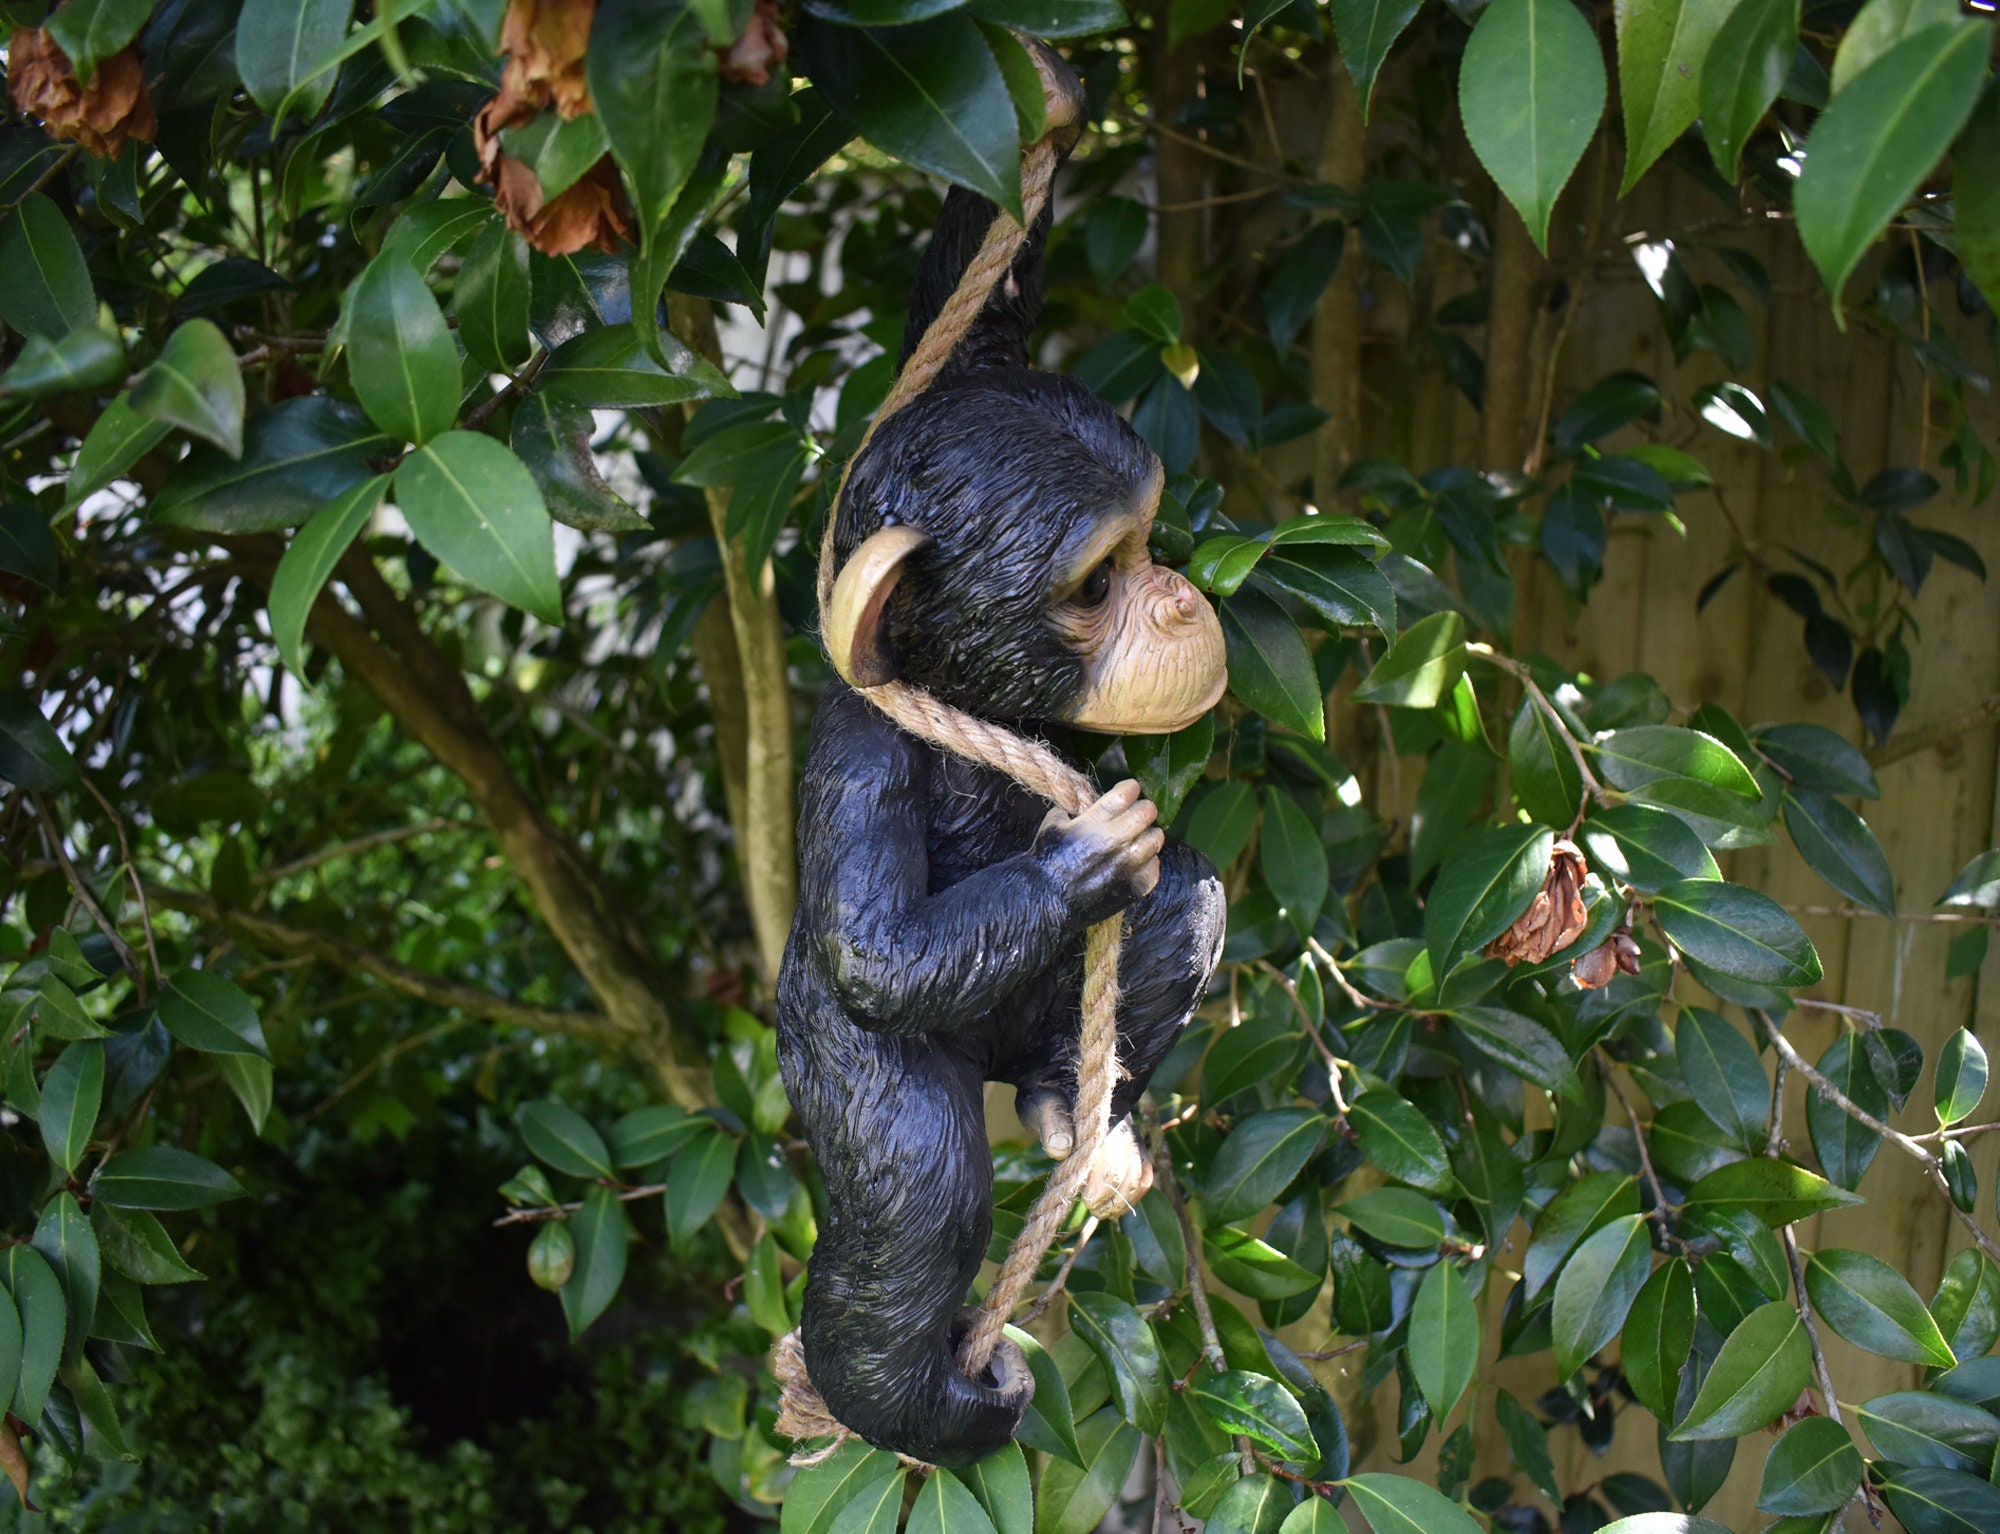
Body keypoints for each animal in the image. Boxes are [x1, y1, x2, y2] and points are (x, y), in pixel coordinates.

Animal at [773, 50, 1228, 1469]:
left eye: (1150, 547)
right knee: (913, 1196)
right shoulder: (862, 747)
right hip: (845, 1062)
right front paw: (1076, 862)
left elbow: (969, 330)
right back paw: (917, 1396)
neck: (973, 702)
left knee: (1188, 901)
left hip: (1040, 1036)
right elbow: (874, 946)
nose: (1177, 600)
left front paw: (1050, 111)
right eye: (1096, 582)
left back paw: (1074, 1114)